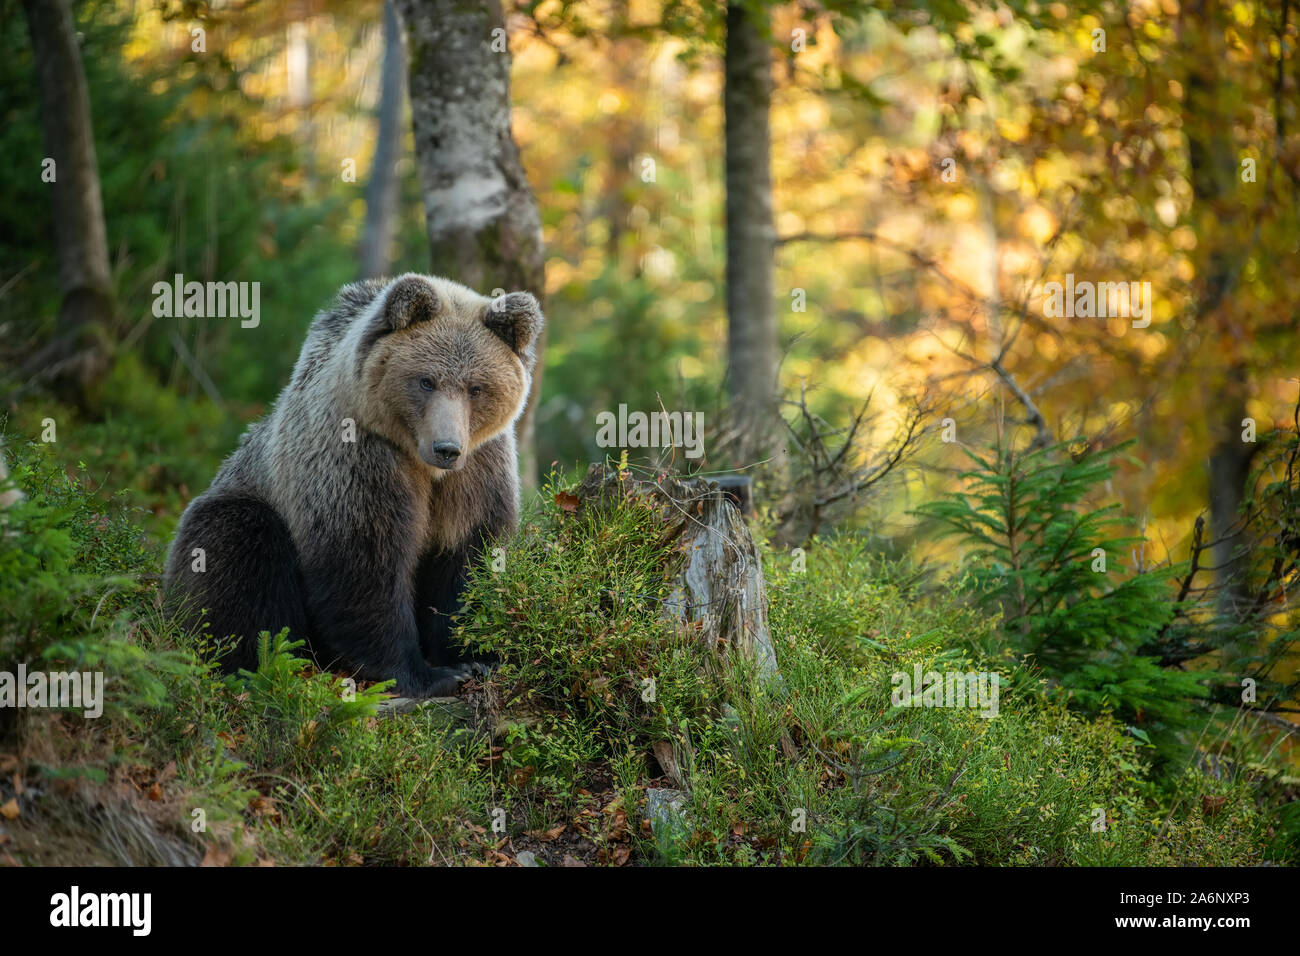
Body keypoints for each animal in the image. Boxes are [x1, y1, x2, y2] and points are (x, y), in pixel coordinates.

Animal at [162, 273, 543, 697]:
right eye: (426, 381)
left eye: (476, 387)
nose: (446, 448)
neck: (420, 463)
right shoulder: (357, 457)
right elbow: (365, 558)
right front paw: (426, 674)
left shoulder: (477, 470)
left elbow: (468, 556)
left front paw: (473, 655)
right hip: (242, 502)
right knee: (237, 549)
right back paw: (252, 664)